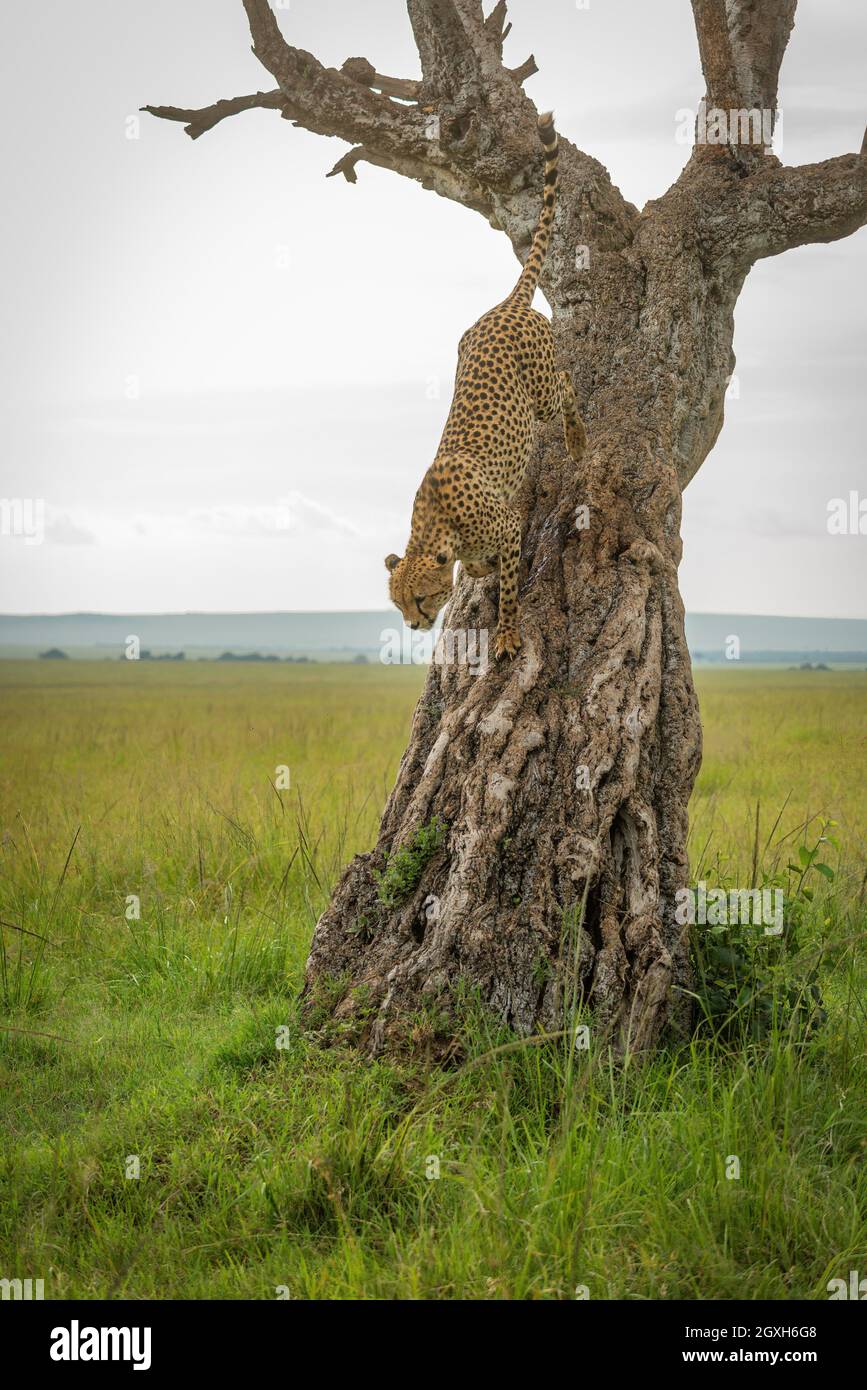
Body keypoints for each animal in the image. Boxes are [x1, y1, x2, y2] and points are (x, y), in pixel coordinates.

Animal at [385, 111, 586, 660]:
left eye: (421, 598)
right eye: (397, 602)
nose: (413, 625)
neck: (438, 528)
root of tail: (505, 305)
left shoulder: (509, 525)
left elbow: (511, 587)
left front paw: (508, 634)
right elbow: (481, 566)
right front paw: (482, 569)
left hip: (541, 394)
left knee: (566, 381)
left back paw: (578, 439)